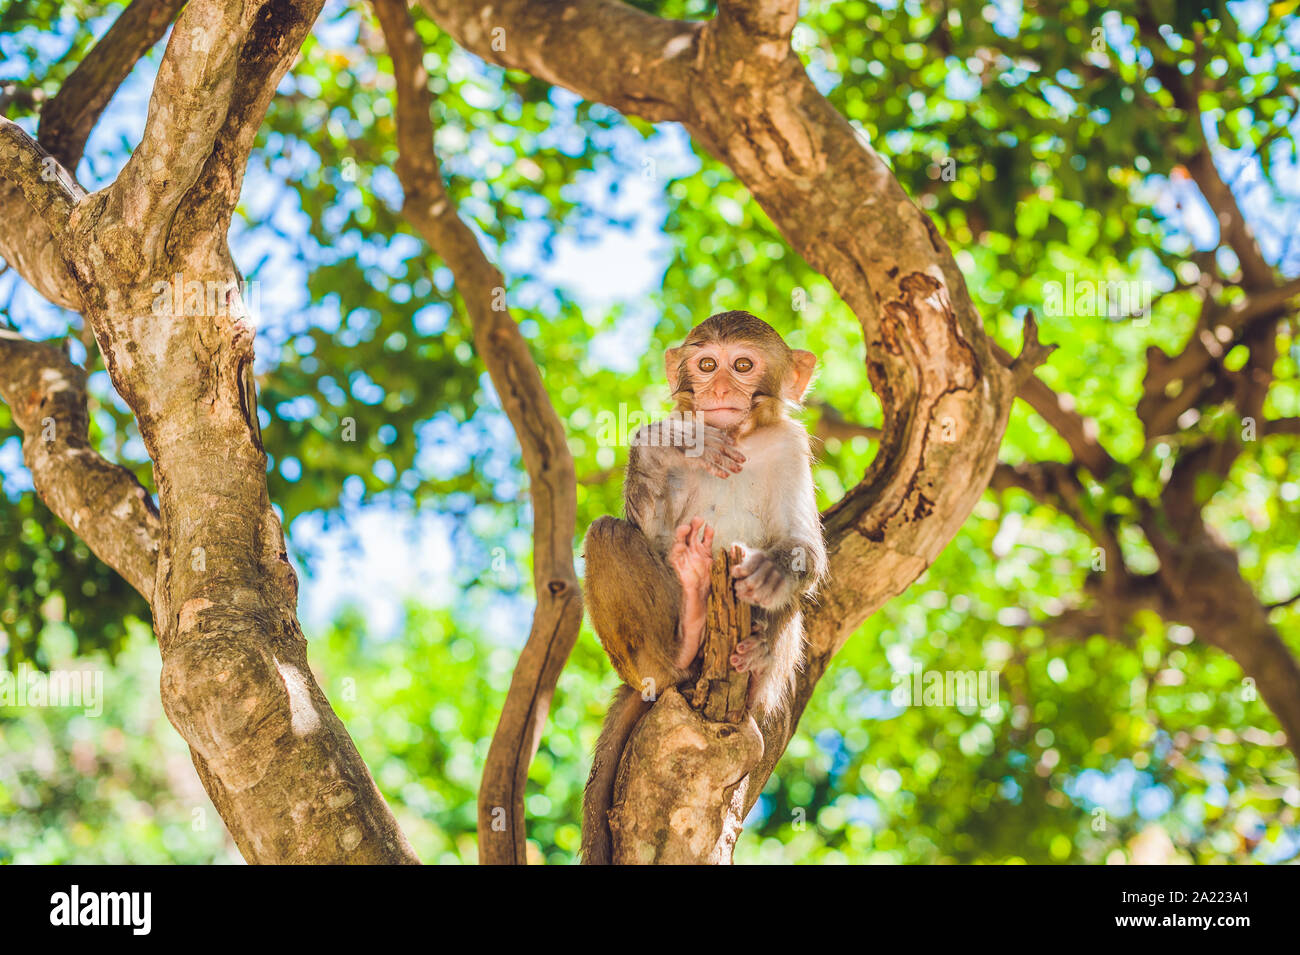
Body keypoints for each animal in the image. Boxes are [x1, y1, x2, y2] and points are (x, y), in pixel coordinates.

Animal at [580, 309, 827, 865]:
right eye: (707, 364)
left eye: (742, 365)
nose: (718, 388)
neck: (740, 436)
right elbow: (649, 529)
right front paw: (677, 442)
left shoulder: (790, 442)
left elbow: (805, 550)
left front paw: (773, 572)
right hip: (649, 660)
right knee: (606, 532)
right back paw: (686, 630)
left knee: (790, 604)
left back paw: (755, 657)